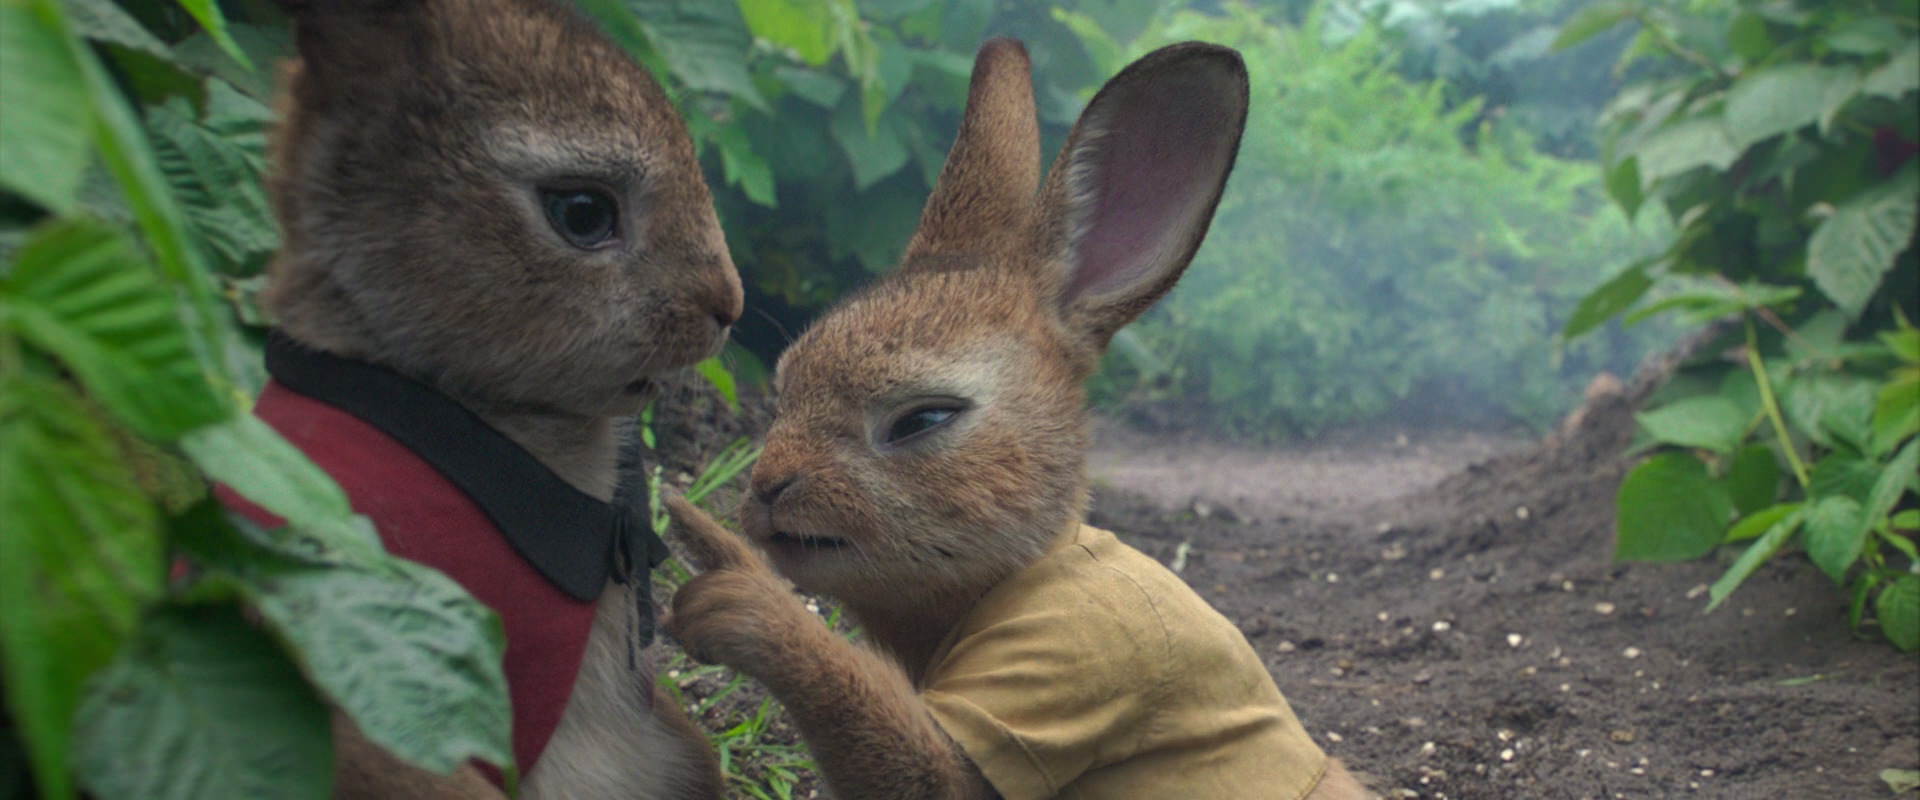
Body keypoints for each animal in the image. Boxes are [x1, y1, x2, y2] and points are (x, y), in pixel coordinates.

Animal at [663, 38, 1374, 800]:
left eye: (924, 418)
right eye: (785, 387)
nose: (767, 489)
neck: (1022, 566)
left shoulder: (1058, 662)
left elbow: (932, 767)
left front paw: (735, 594)